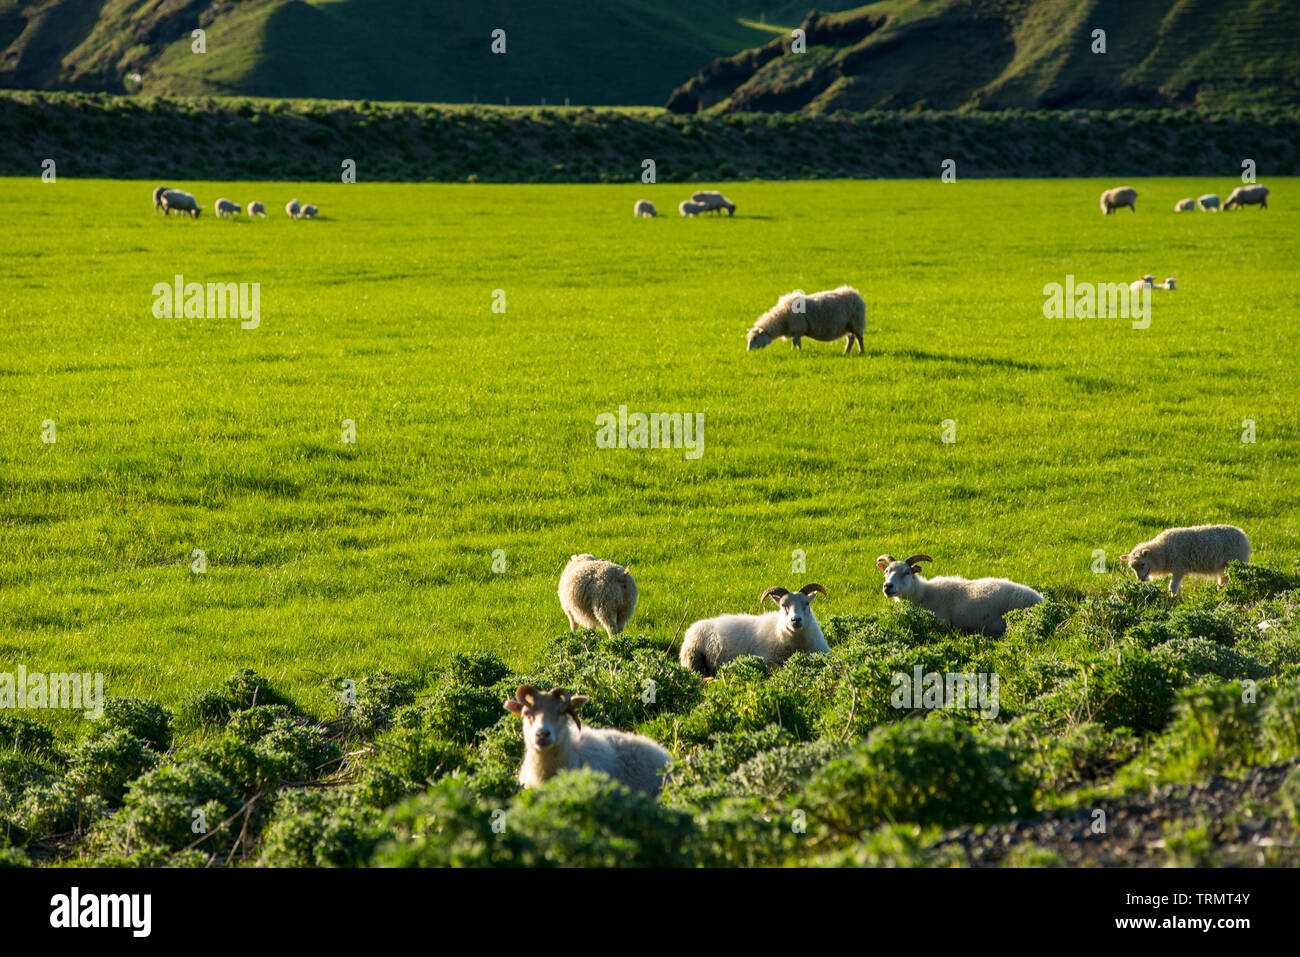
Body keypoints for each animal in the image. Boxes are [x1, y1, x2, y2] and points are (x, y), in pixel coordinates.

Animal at [679, 584, 829, 675]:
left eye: (807, 603)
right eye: (782, 605)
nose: (795, 620)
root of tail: (691, 629)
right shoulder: (766, 658)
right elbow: (776, 668)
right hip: (692, 656)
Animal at [877, 554, 1042, 638]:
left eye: (907, 572)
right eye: (886, 572)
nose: (887, 586)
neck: (923, 593)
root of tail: (1041, 600)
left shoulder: (941, 622)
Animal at [1120, 525, 1250, 597]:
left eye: (1143, 564)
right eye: (1132, 568)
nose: (1141, 579)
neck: (1162, 551)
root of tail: (1243, 534)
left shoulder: (1179, 568)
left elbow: (1172, 586)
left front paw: (1173, 598)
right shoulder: (1177, 570)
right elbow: (1176, 587)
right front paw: (1177, 598)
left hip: (1235, 561)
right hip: (1222, 566)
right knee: (1223, 580)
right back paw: (1220, 592)